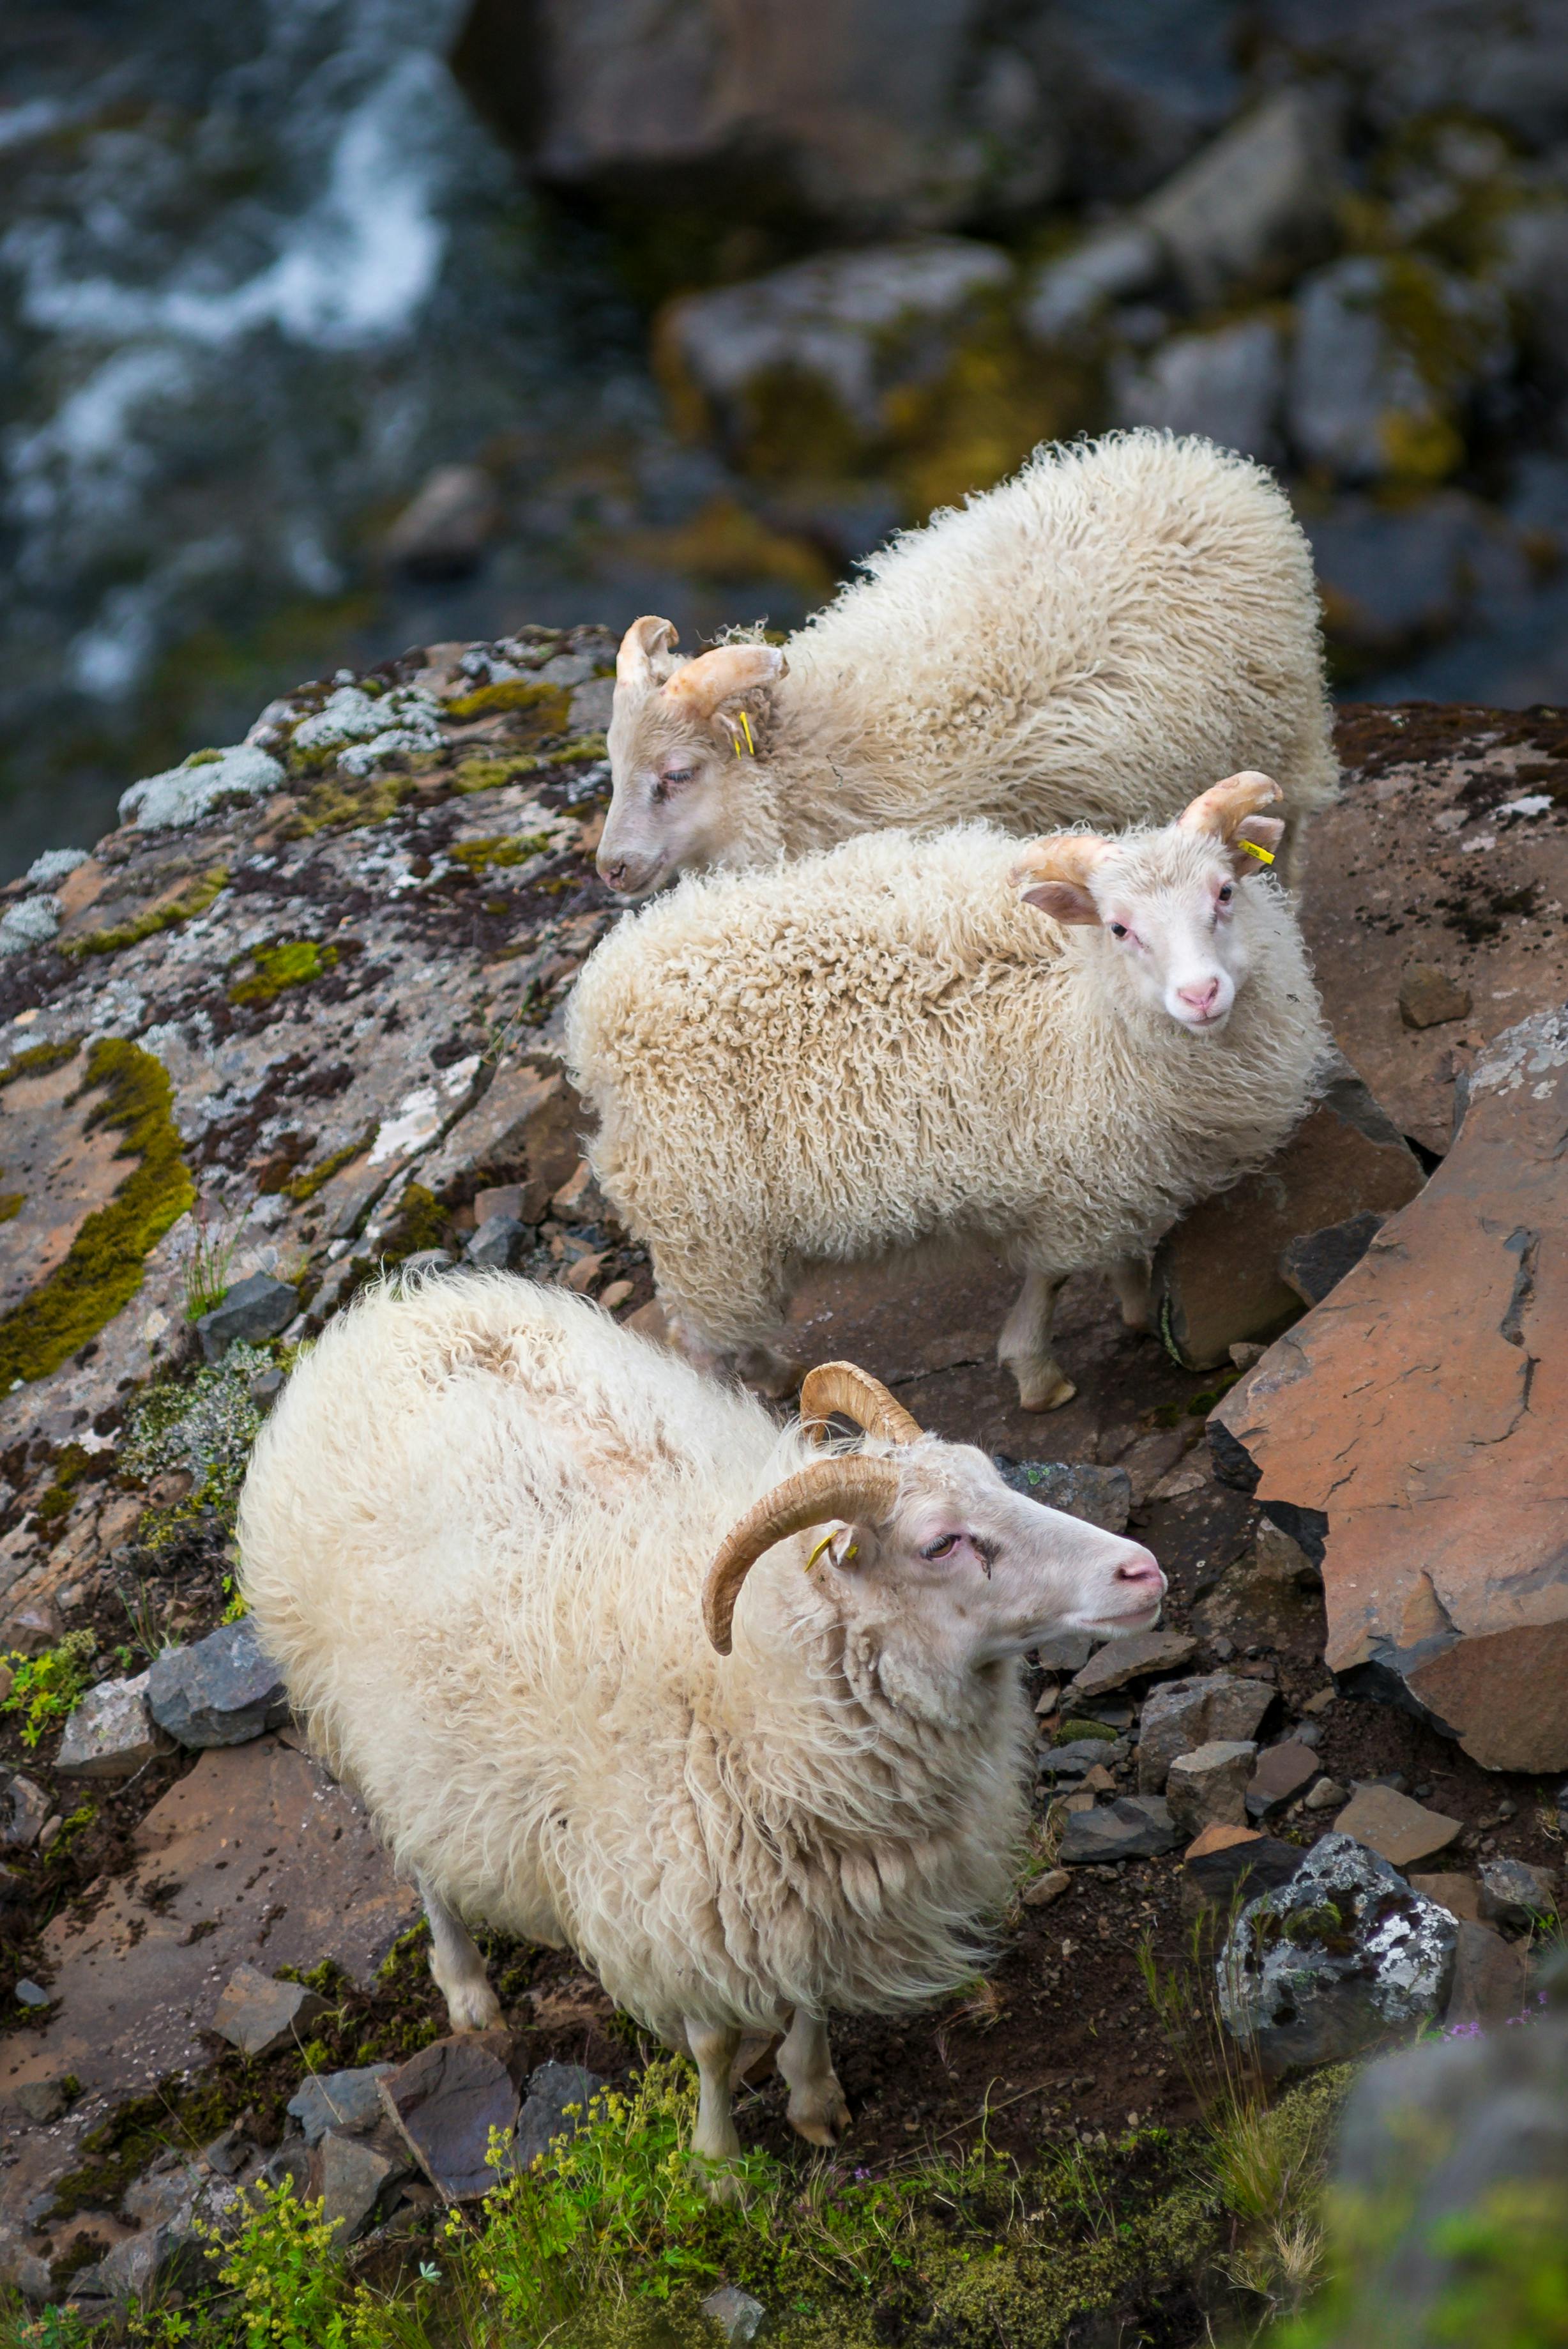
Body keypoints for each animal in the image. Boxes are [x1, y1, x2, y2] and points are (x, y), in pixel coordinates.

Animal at [237, 1287, 1165, 2172]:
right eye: (940, 1543)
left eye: (991, 1473)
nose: (1143, 1570)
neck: (754, 1673)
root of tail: (392, 1308)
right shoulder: (678, 1898)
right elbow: (714, 2044)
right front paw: (717, 2163)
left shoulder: (810, 1890)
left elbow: (808, 1992)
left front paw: (813, 2095)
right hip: (359, 1719)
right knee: (420, 1859)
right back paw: (465, 1986)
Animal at [567, 772, 1331, 1411]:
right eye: (1120, 928)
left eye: (1224, 893)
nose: (1201, 994)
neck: (1083, 994)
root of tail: (599, 1005)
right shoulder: (1067, 1180)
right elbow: (1051, 1276)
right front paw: (1037, 1373)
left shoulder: (1117, 1167)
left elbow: (1118, 1252)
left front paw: (1137, 1304)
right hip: (703, 1214)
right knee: (698, 1341)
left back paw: (775, 1373)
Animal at [598, 430, 1337, 900]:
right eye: (612, 763)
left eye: (678, 773)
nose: (611, 868)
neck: (821, 754)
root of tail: (1206, 462)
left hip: (1281, 732)